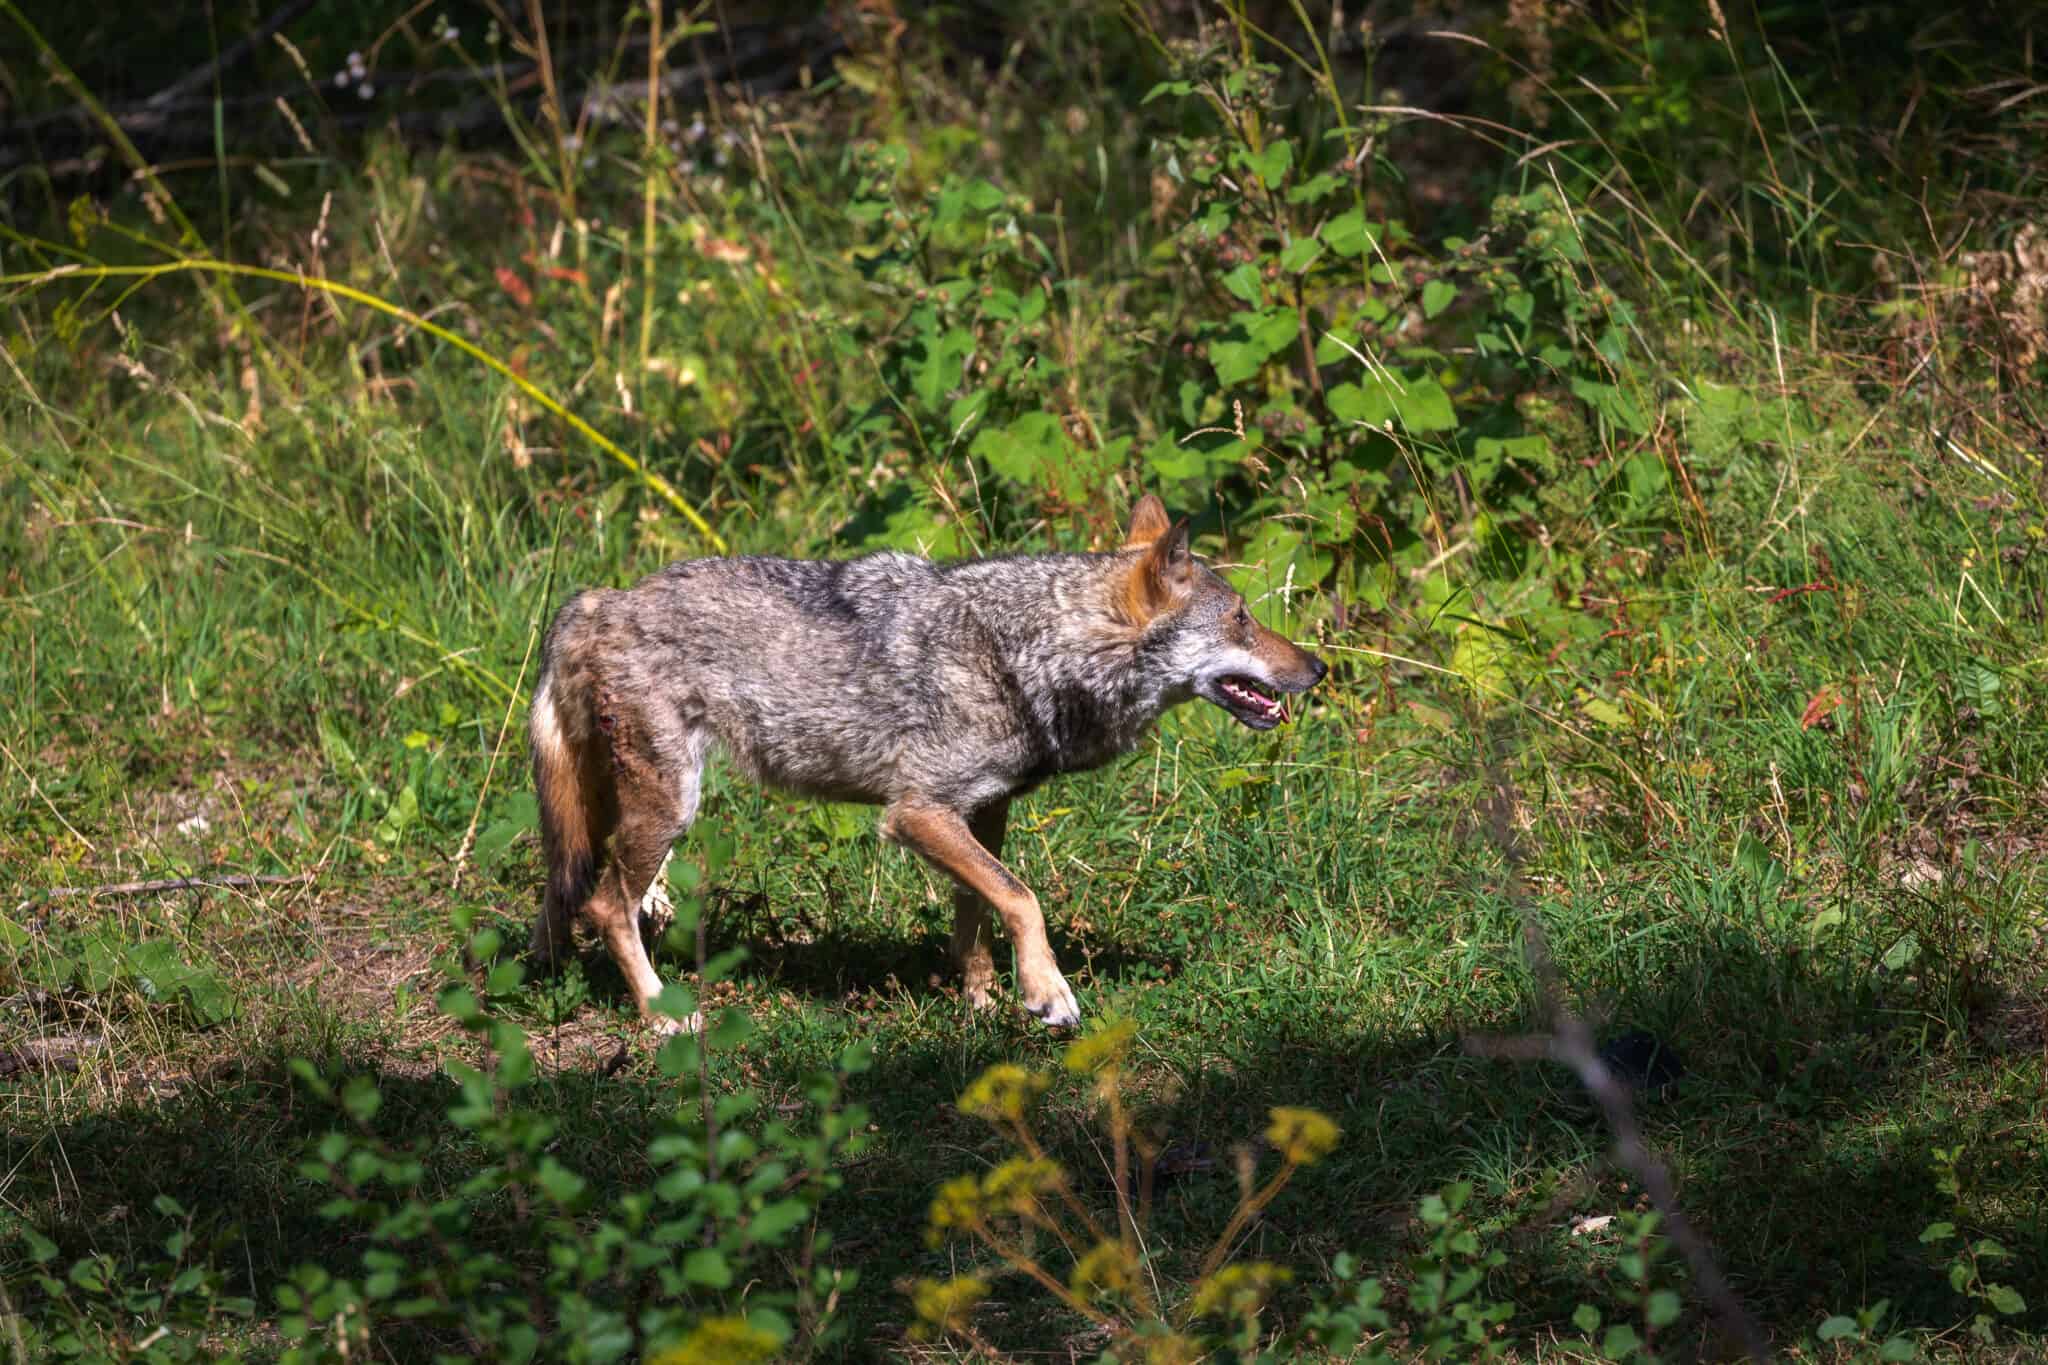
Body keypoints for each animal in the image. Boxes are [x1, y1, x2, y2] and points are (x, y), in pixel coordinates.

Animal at [526, 495, 1327, 1031]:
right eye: (1243, 619)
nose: (1319, 667)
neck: (1021, 656)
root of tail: (595, 601)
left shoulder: (983, 812)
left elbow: (979, 910)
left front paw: (981, 1000)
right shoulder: (915, 814)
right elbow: (1025, 899)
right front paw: (1049, 993)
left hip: (609, 811)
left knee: (567, 895)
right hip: (669, 808)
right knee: (607, 905)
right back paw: (661, 1014)